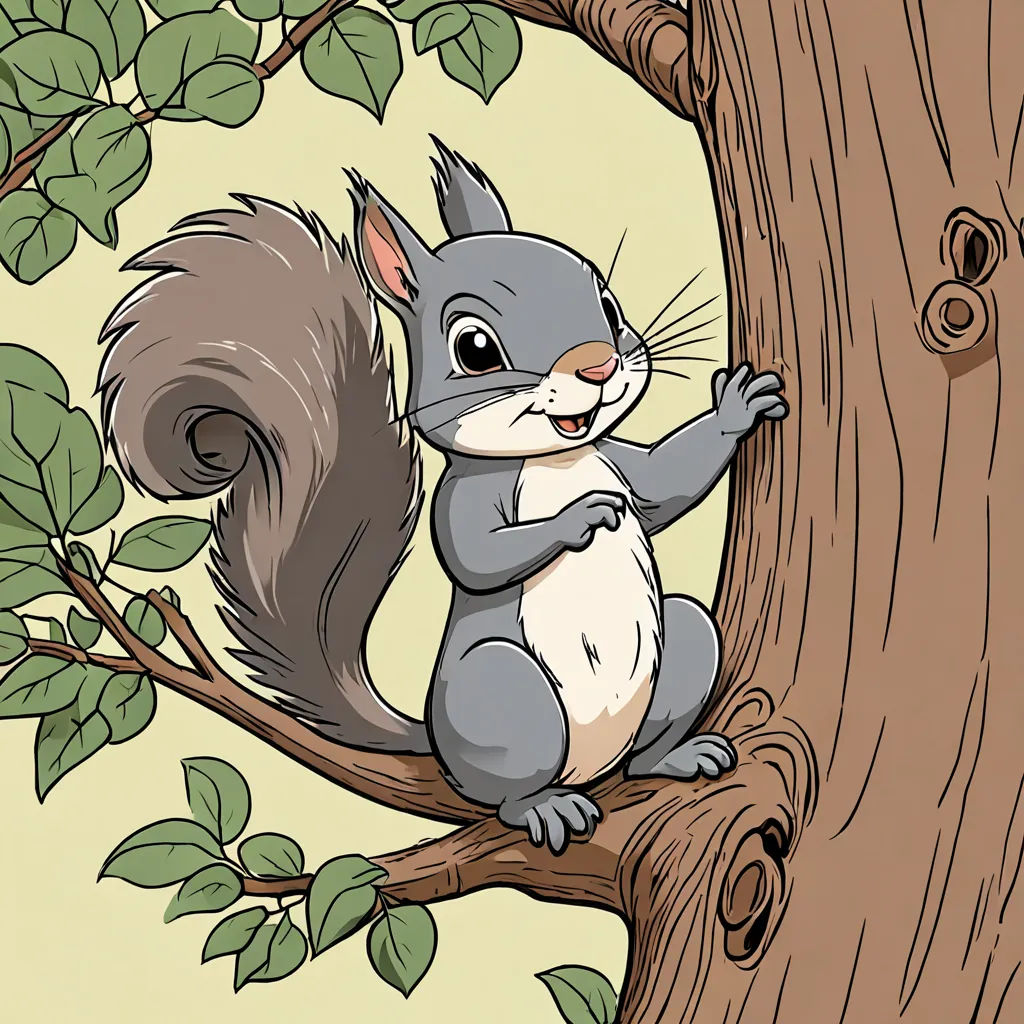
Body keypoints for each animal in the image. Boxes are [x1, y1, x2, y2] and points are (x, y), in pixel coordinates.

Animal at [97, 138, 788, 855]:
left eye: (607, 301)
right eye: (474, 347)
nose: (597, 365)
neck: (557, 458)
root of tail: (434, 740)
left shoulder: (618, 463)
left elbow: (665, 486)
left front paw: (735, 410)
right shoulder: (460, 501)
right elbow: (476, 556)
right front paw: (580, 517)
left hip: (681, 643)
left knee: (656, 713)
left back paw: (673, 757)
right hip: (502, 691)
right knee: (508, 790)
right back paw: (544, 808)